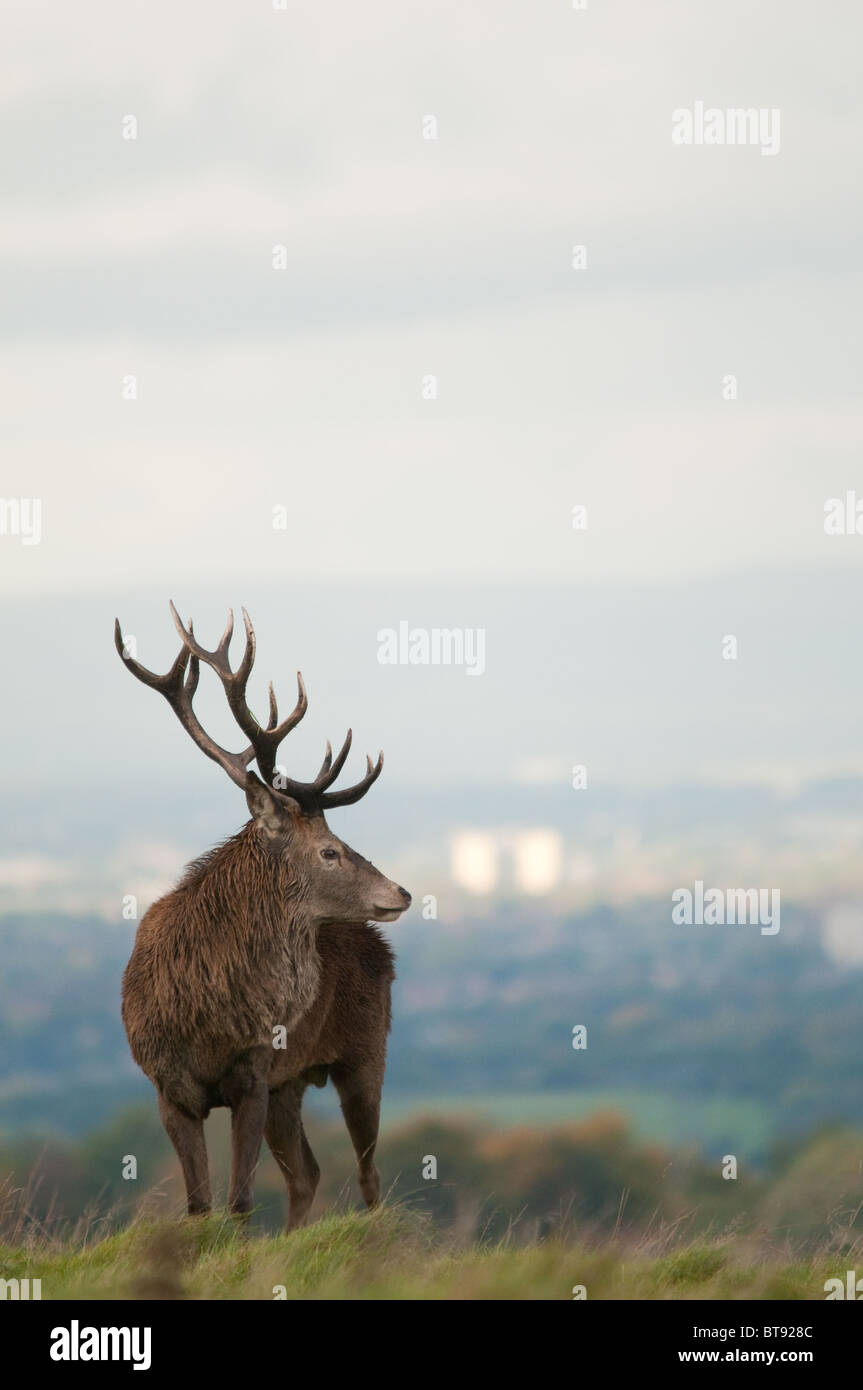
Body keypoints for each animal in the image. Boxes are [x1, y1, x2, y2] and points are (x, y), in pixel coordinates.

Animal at [114, 603, 412, 1230]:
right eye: (330, 850)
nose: (401, 892)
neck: (206, 1014)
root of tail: (380, 946)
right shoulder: (168, 1087)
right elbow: (200, 1205)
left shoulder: (252, 1073)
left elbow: (240, 1201)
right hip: (291, 1083)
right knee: (308, 1172)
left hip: (365, 1054)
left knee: (368, 1173)